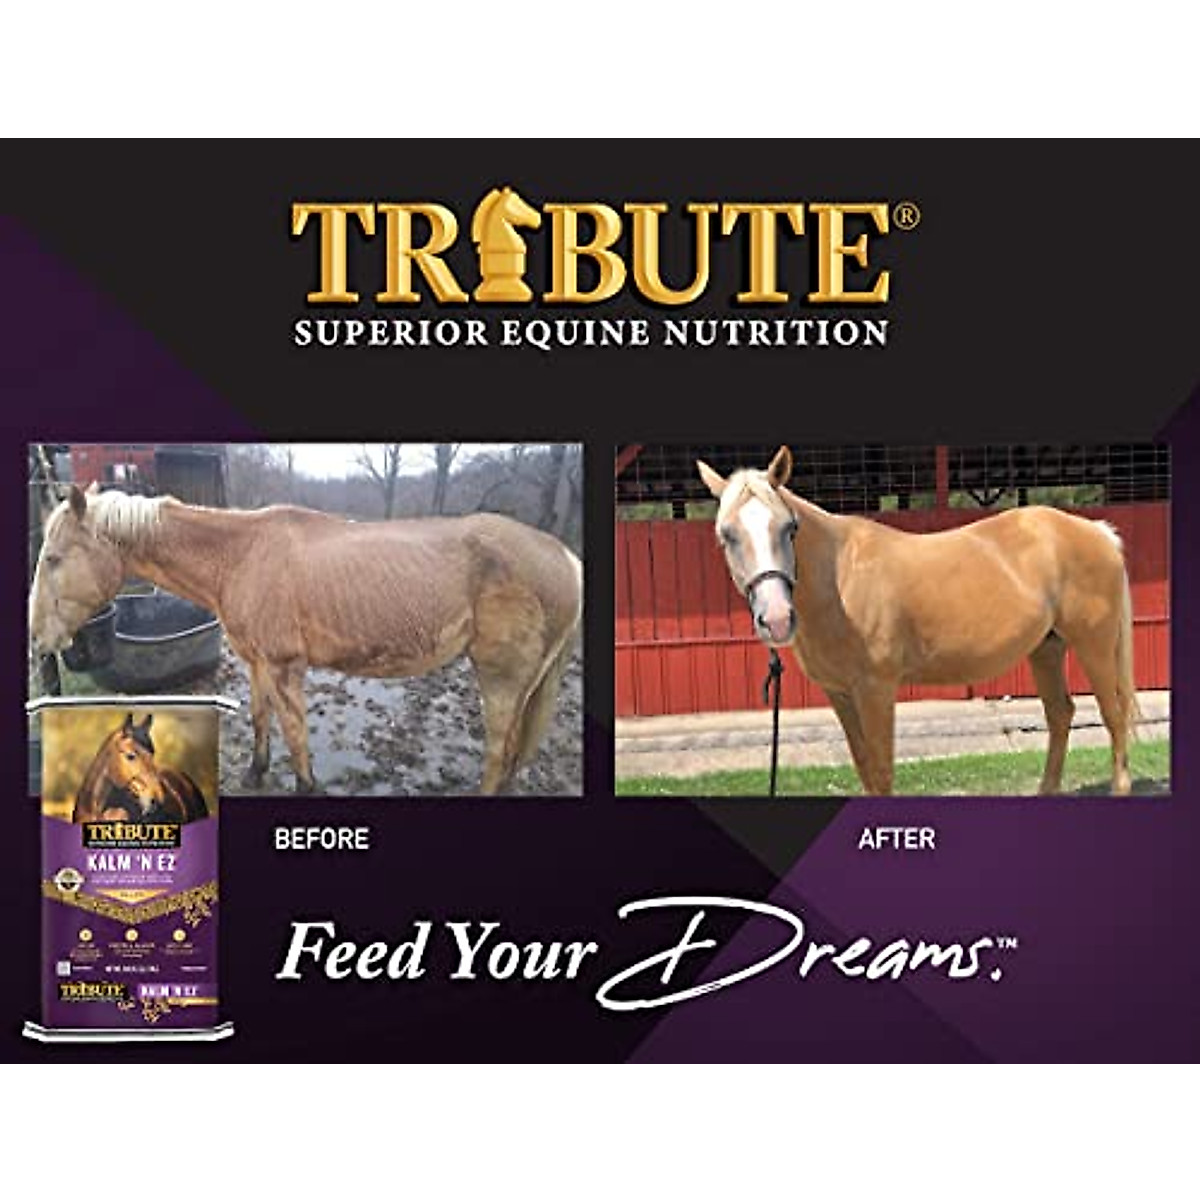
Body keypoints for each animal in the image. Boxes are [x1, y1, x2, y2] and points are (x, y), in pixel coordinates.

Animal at [30, 485, 583, 795]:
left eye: (53, 558)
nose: (39, 639)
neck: (240, 555)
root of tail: (565, 557)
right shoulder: (257, 664)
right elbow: (260, 719)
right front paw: (255, 773)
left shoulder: (283, 667)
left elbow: (295, 734)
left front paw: (305, 787)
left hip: (502, 681)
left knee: (498, 752)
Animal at [697, 446, 1140, 796]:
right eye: (726, 535)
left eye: (790, 528)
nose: (776, 618)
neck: (840, 579)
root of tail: (1096, 531)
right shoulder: (840, 694)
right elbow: (865, 769)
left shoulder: (876, 690)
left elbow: (881, 771)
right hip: (1046, 648)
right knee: (1060, 714)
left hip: (1094, 646)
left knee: (1114, 716)